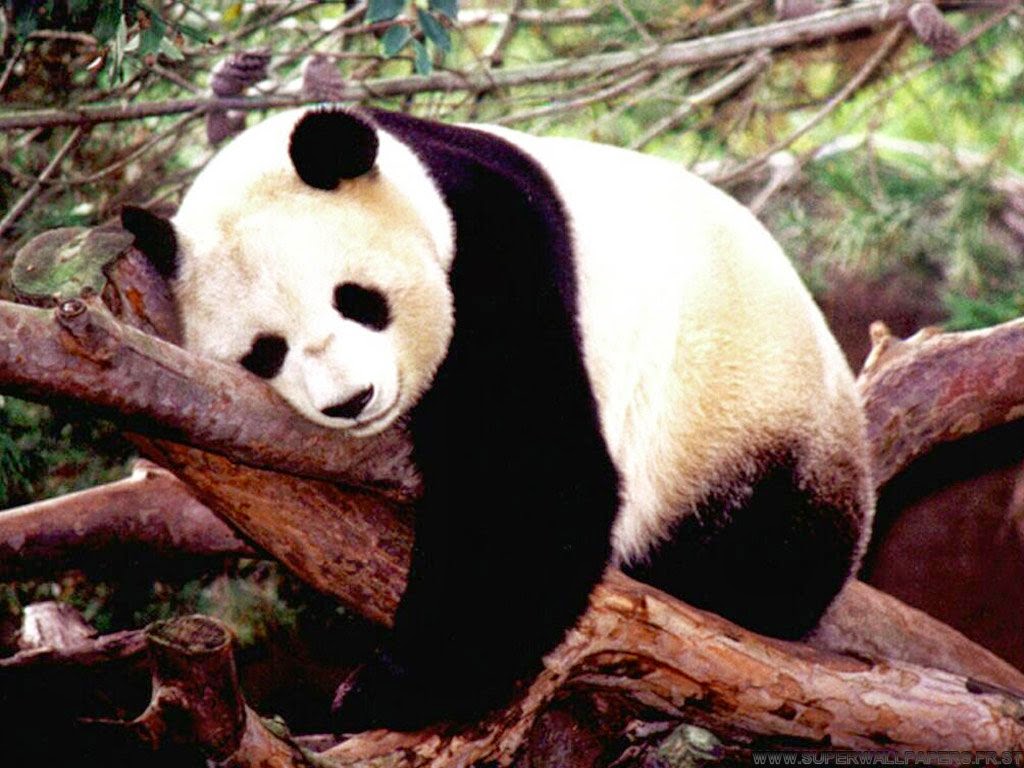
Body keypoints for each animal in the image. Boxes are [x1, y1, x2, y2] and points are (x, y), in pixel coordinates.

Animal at [122, 106, 874, 733]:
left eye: (356, 299)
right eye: (266, 351)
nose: (351, 401)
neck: (418, 180)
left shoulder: (500, 249)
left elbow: (531, 482)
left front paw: (386, 689)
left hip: (745, 415)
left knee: (766, 553)